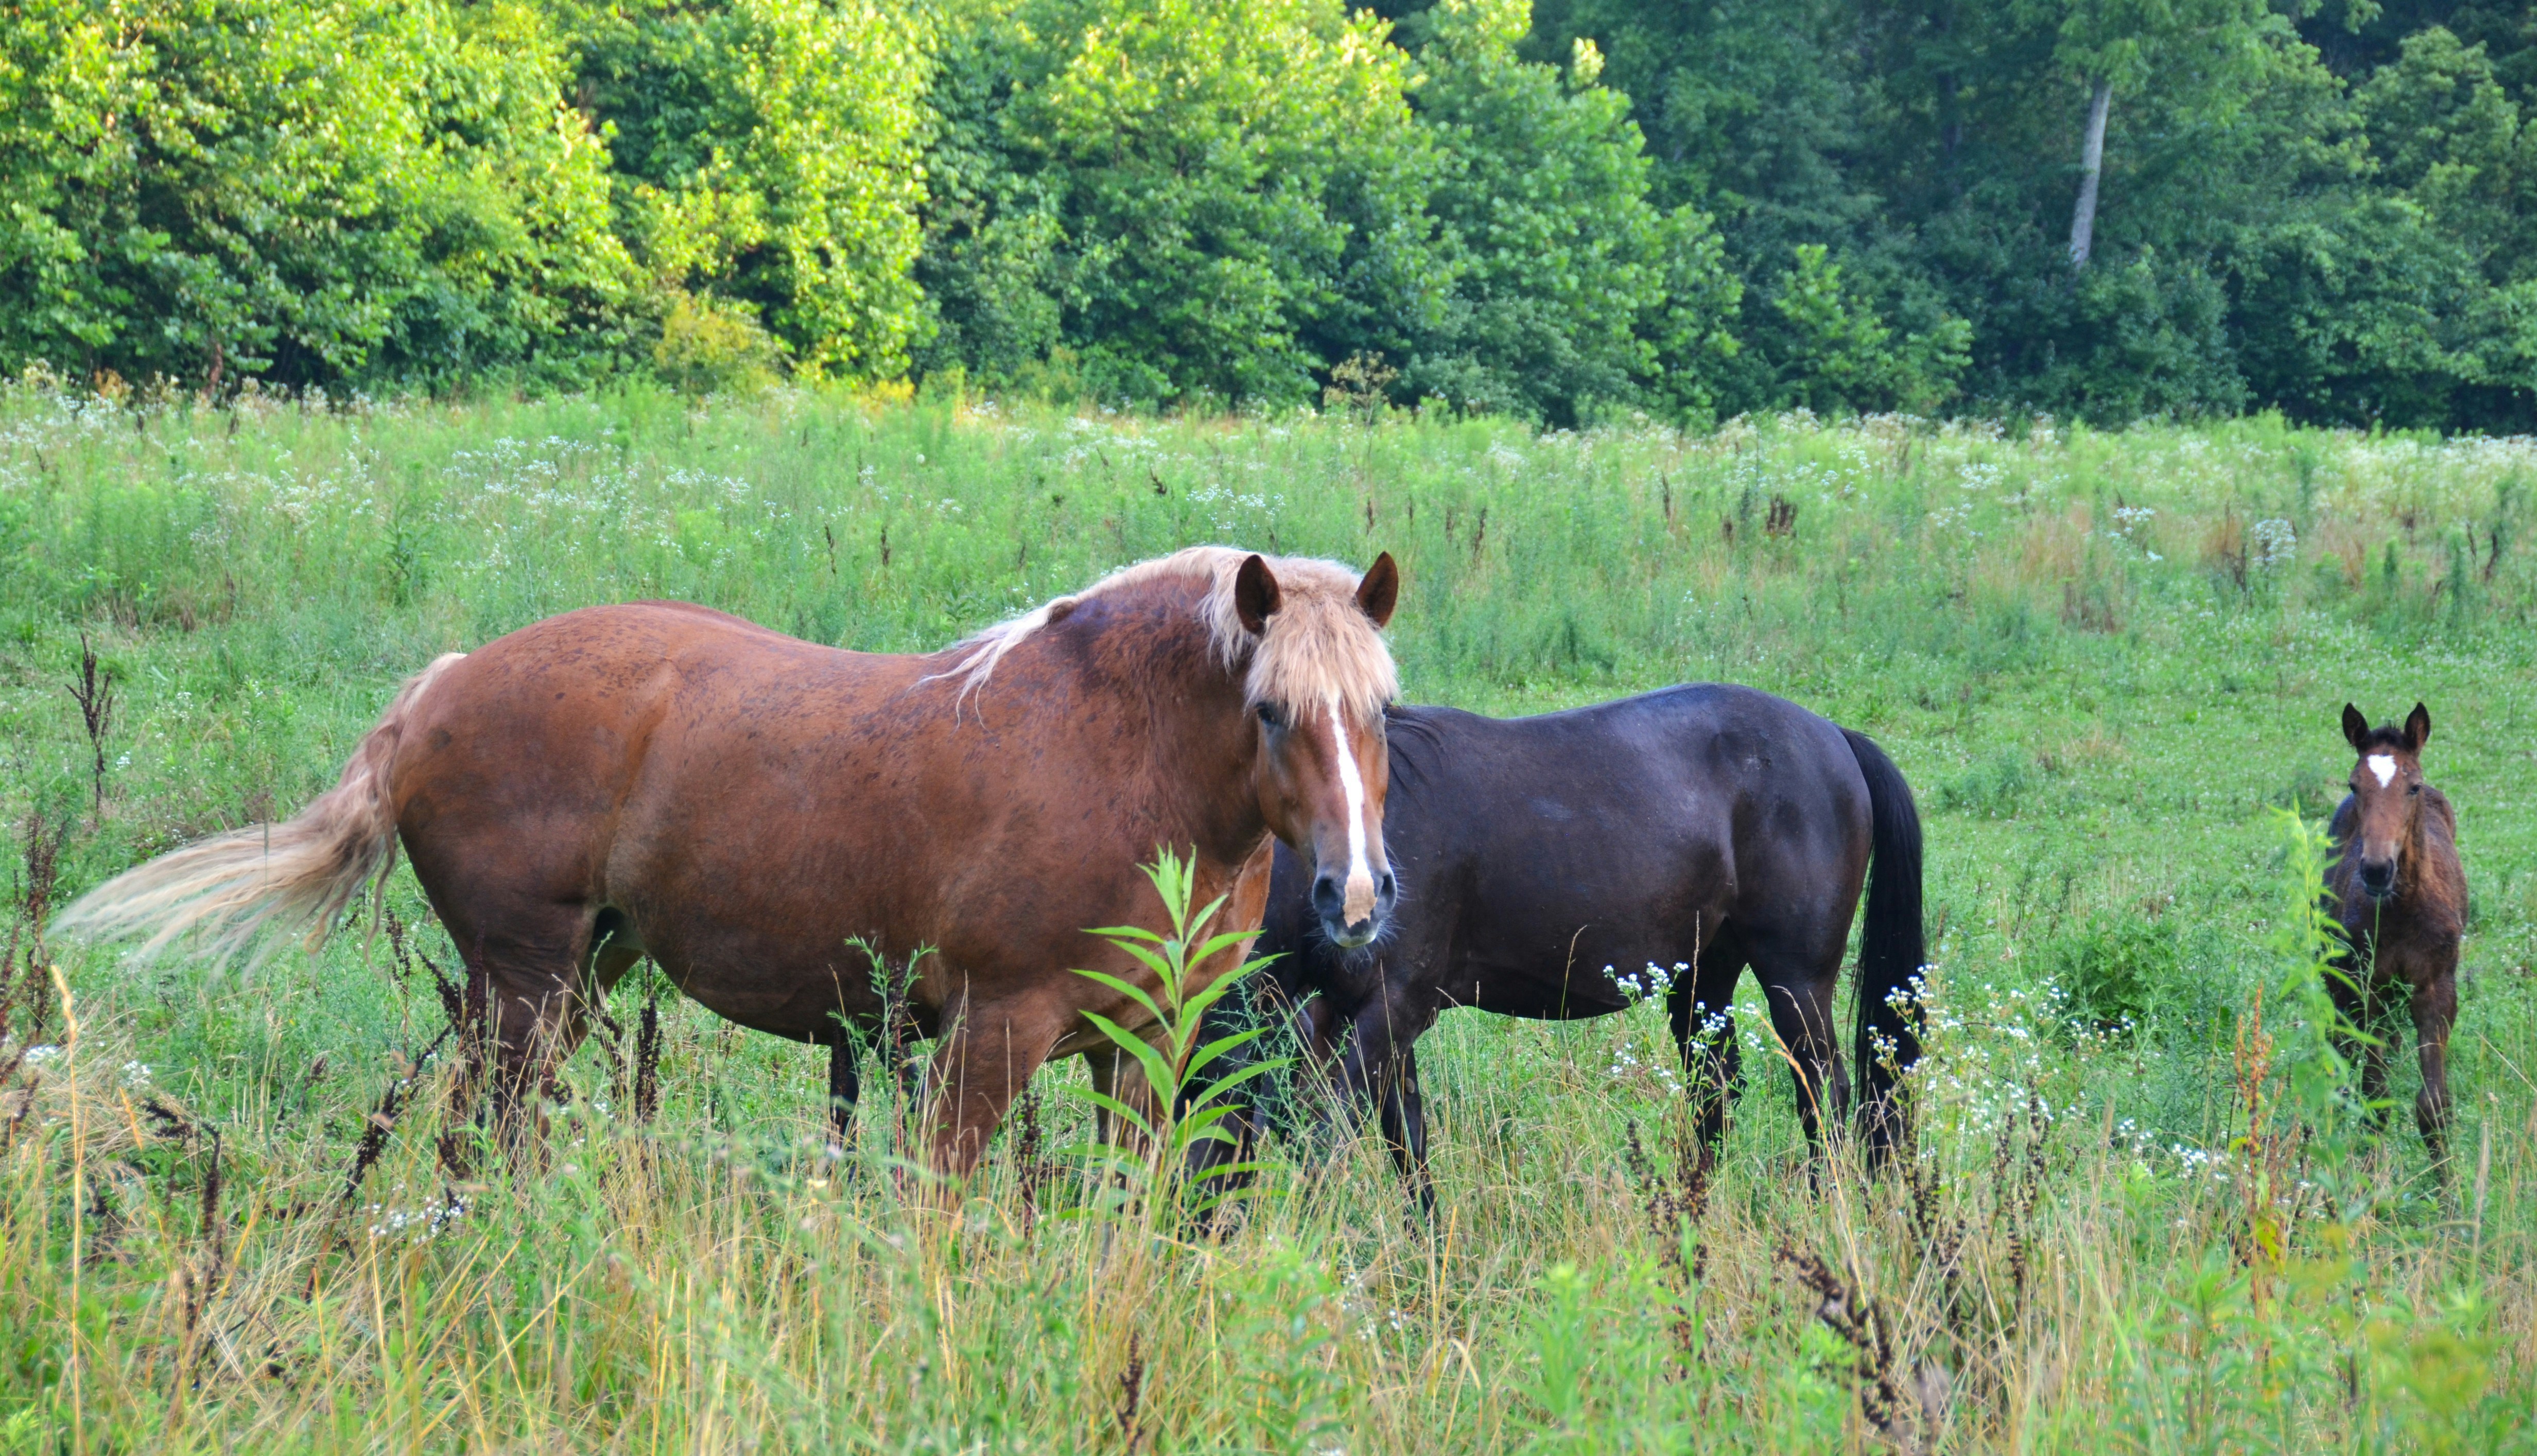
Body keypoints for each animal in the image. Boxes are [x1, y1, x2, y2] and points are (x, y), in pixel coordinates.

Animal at [58, 546, 1404, 1179]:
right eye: (1272, 711)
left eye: (1380, 710)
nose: (1353, 895)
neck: (1112, 756)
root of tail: (440, 690)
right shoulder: (994, 1031)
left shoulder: (1145, 1044)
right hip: (522, 981)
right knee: (481, 1135)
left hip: (578, 974)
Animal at [1189, 683, 1925, 1210]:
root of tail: (1833, 736)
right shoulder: (1348, 1018)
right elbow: (1401, 1140)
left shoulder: (1390, 1011)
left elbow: (1328, 1135)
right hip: (1703, 976)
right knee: (1715, 1088)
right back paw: (1691, 1211)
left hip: (1795, 981)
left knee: (1823, 1094)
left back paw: (1823, 1211)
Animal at [2324, 702, 2467, 1159]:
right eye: (2354, 784)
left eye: (2414, 787)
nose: (2376, 869)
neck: (2404, 910)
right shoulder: (2367, 989)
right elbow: (2374, 1099)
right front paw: (2368, 1179)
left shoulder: (2438, 989)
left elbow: (2433, 1106)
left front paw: (2448, 1182)